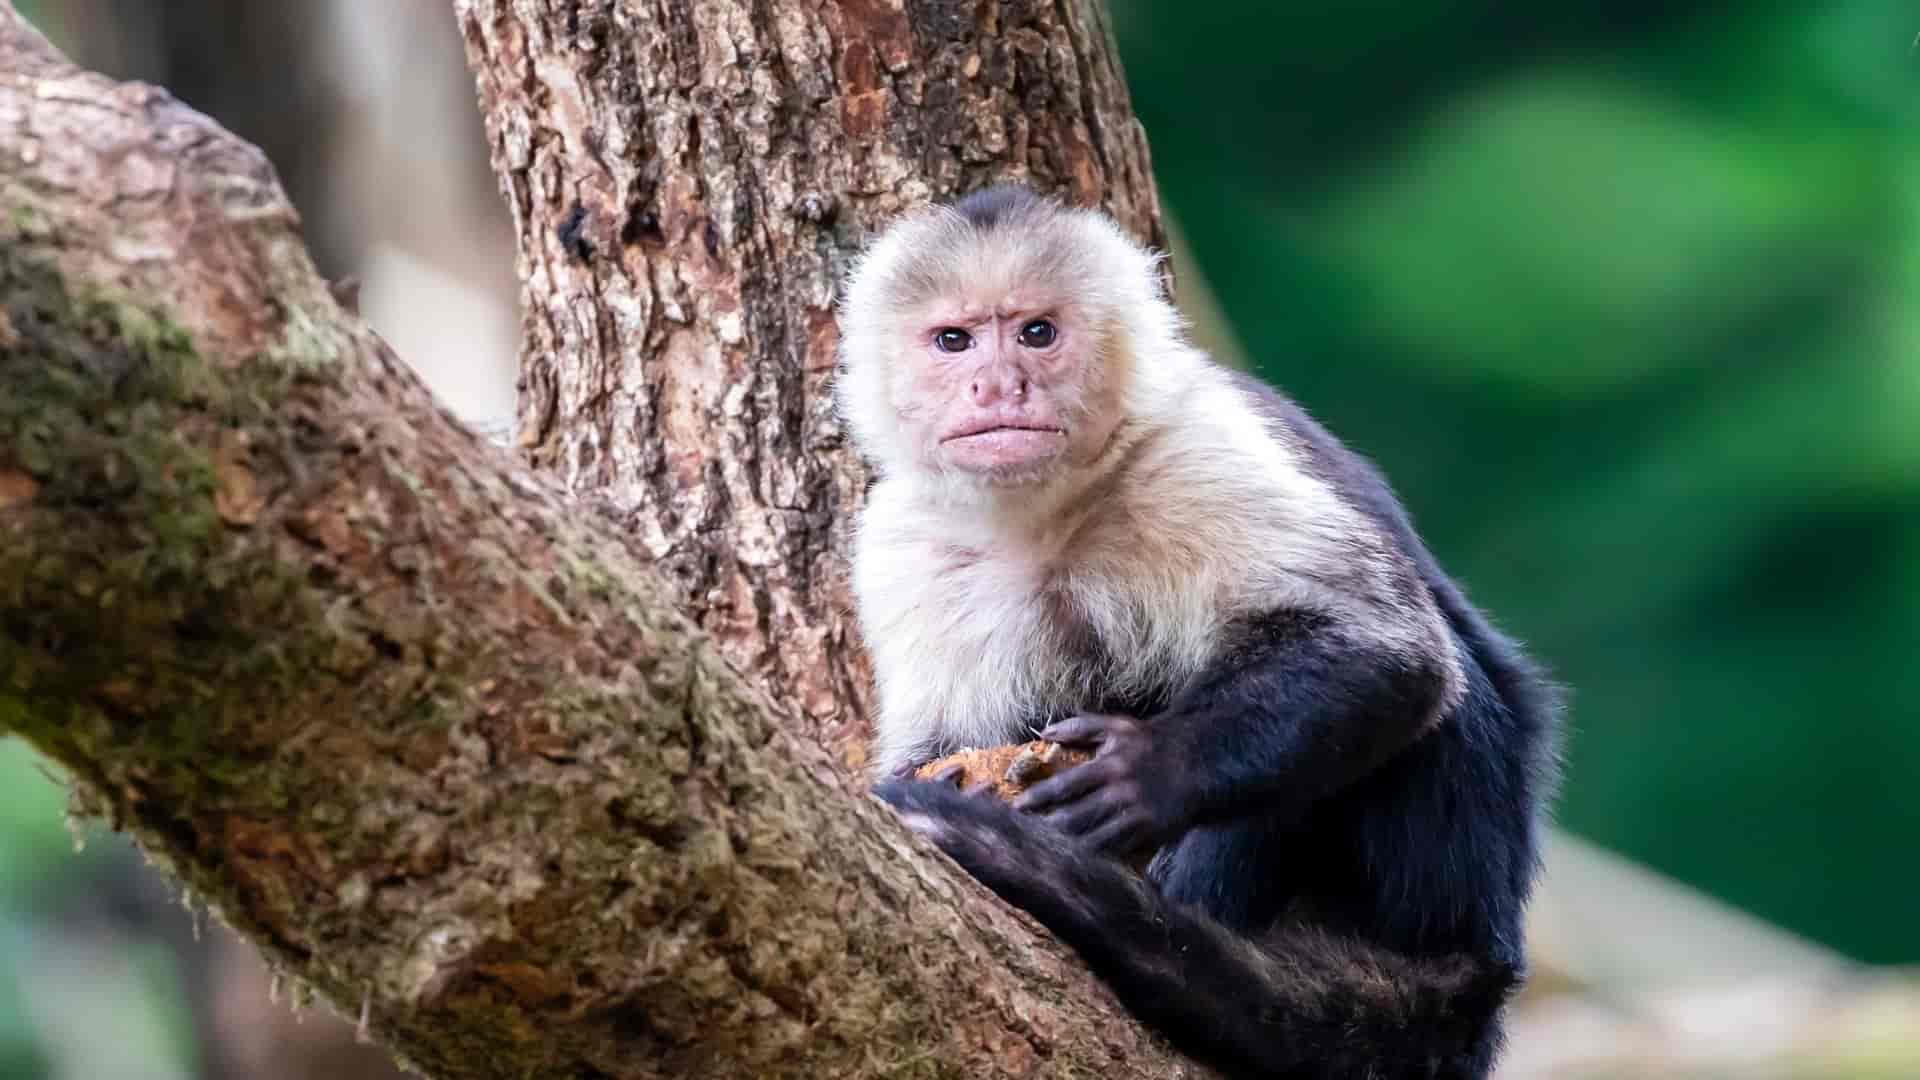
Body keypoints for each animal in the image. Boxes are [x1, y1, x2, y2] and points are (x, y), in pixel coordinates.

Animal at [833, 183, 1560, 1079]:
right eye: (953, 340)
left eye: (1037, 332)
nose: (997, 385)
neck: (1047, 515)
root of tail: (1480, 961)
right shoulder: (899, 541)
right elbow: (932, 751)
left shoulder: (1194, 452)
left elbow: (1388, 652)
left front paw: (1146, 775)